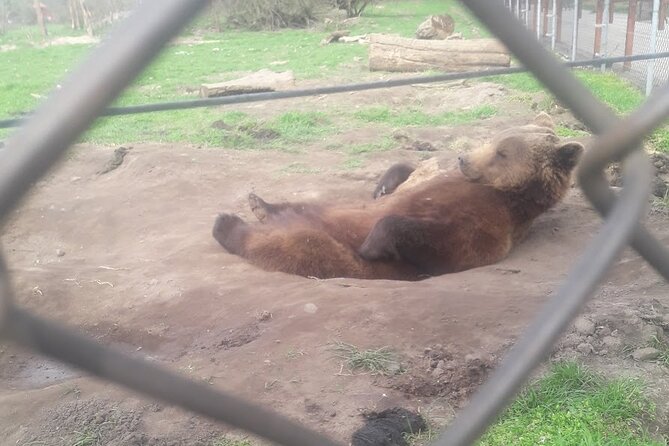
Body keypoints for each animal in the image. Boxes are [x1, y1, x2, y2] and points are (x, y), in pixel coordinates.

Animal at [212, 113, 584, 281]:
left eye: (503, 153)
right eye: (493, 139)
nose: (463, 159)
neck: (504, 193)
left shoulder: (488, 222)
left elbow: (441, 244)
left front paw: (372, 243)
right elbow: (407, 177)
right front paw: (383, 185)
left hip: (337, 255)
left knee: (301, 249)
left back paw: (228, 224)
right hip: (330, 209)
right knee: (304, 207)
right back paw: (258, 205)